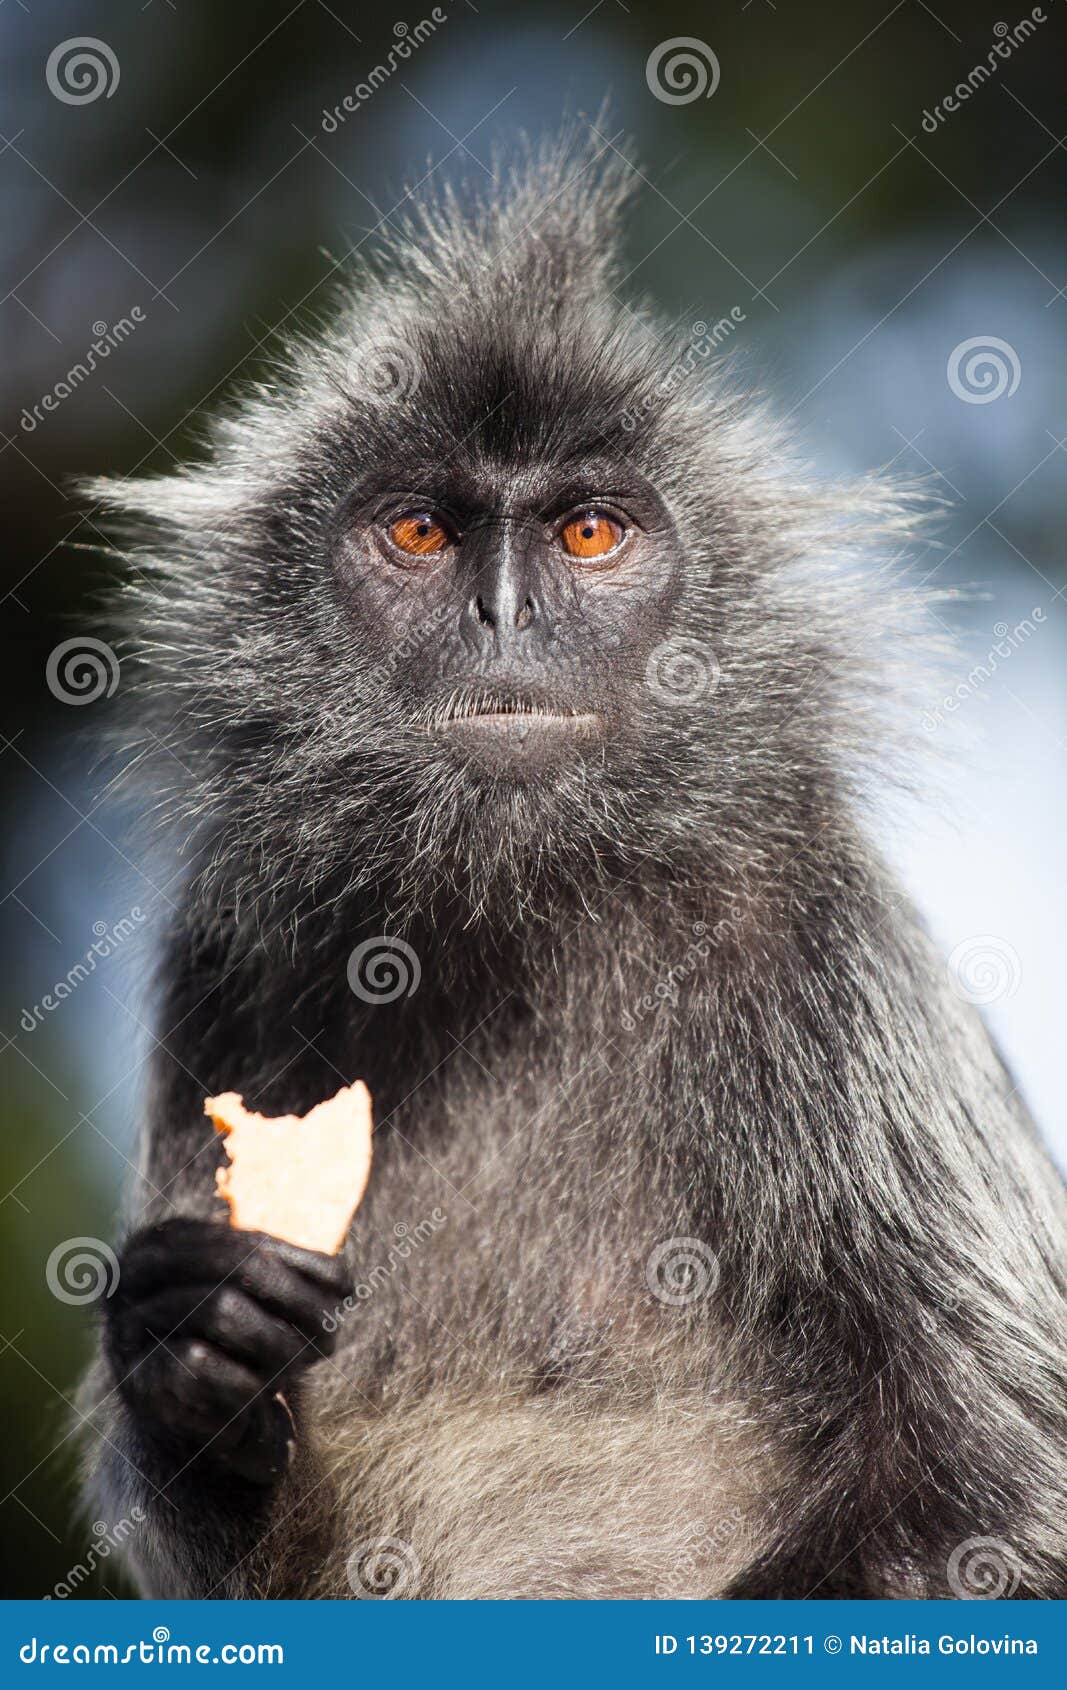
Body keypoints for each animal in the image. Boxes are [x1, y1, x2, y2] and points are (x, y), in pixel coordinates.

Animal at [79, 131, 1067, 1601]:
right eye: (421, 533)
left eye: (588, 534)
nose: (504, 616)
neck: (522, 905)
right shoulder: (226, 958)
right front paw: (185, 1346)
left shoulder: (822, 937)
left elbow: (990, 1478)